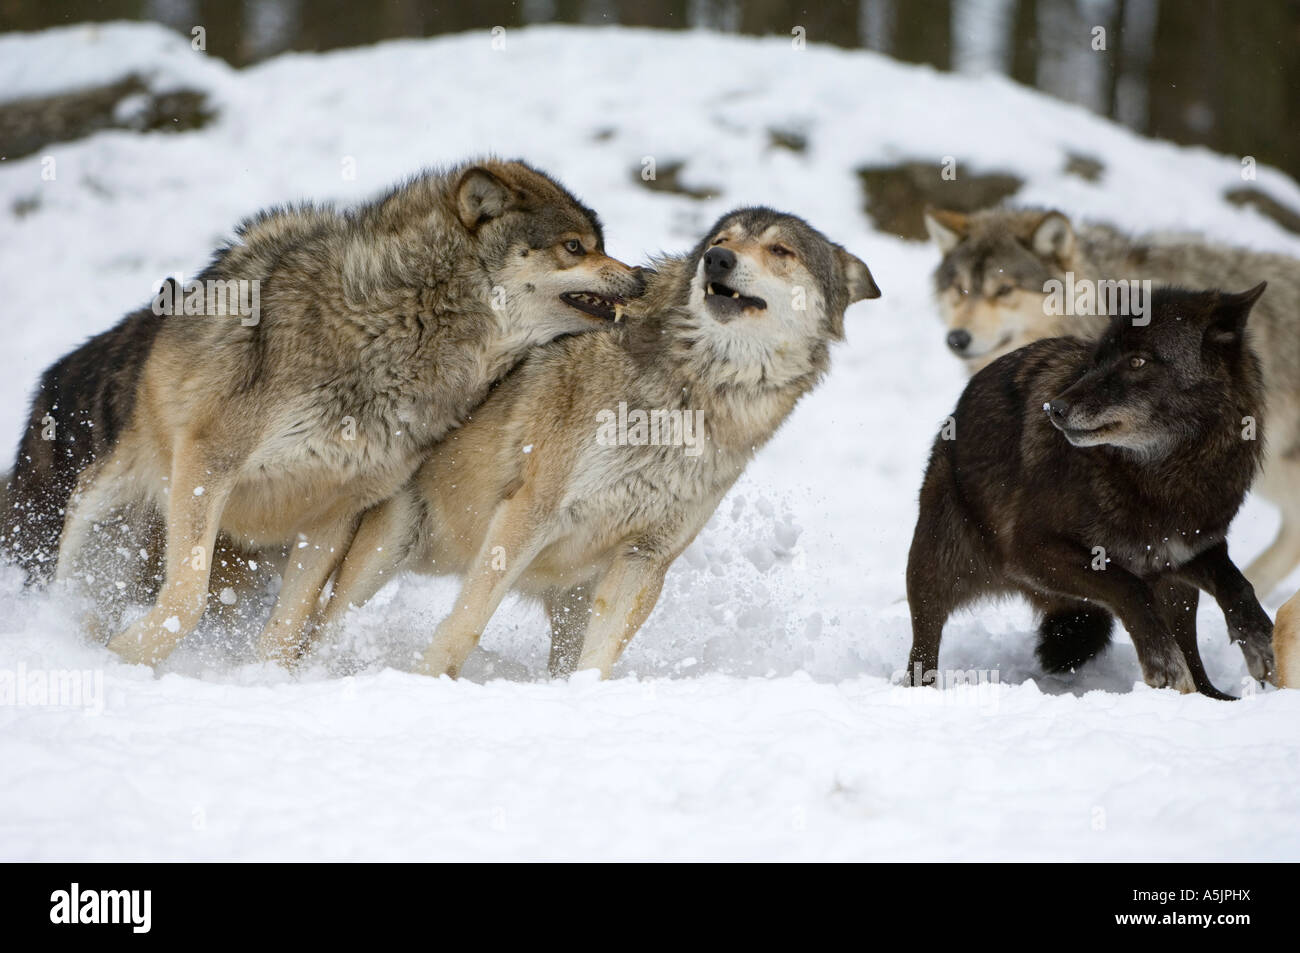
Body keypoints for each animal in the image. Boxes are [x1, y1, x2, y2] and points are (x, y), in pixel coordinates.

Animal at [5, 159, 643, 665]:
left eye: (597, 242)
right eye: (576, 246)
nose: (639, 279)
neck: (404, 327)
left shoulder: (337, 508)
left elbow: (287, 628)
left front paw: (265, 682)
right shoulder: (209, 465)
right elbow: (185, 598)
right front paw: (125, 658)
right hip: (96, 527)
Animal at [296, 208, 879, 678]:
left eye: (781, 251)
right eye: (723, 238)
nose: (716, 260)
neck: (694, 395)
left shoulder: (646, 557)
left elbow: (599, 659)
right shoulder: (529, 513)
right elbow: (466, 624)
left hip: (568, 599)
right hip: (387, 548)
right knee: (323, 625)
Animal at [904, 283, 1274, 699]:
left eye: (1137, 361)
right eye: (1098, 360)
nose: (1055, 408)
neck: (1164, 476)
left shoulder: (1187, 550)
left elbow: (1238, 585)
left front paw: (1263, 645)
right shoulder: (1033, 550)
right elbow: (1129, 587)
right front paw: (1162, 665)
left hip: (1177, 591)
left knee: (1193, 651)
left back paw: (1213, 697)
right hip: (935, 563)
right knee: (923, 644)